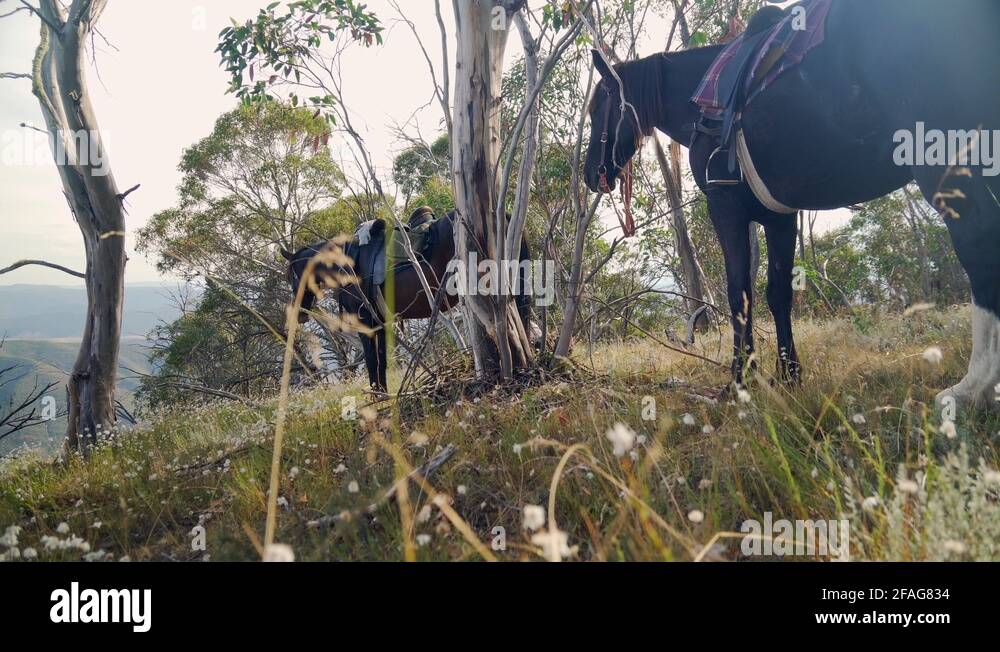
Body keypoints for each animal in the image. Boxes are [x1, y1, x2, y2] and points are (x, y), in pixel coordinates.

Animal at [282, 209, 533, 393]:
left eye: (292, 275)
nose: (300, 313)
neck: (347, 264)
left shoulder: (366, 325)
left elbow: (372, 362)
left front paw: (377, 397)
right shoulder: (380, 324)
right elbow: (381, 362)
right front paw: (383, 395)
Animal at [583, 0, 1000, 409]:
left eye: (596, 110)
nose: (591, 174)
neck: (700, 100)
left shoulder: (725, 207)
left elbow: (740, 294)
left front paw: (739, 381)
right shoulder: (779, 216)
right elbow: (777, 293)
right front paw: (788, 375)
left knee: (978, 238)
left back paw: (973, 387)